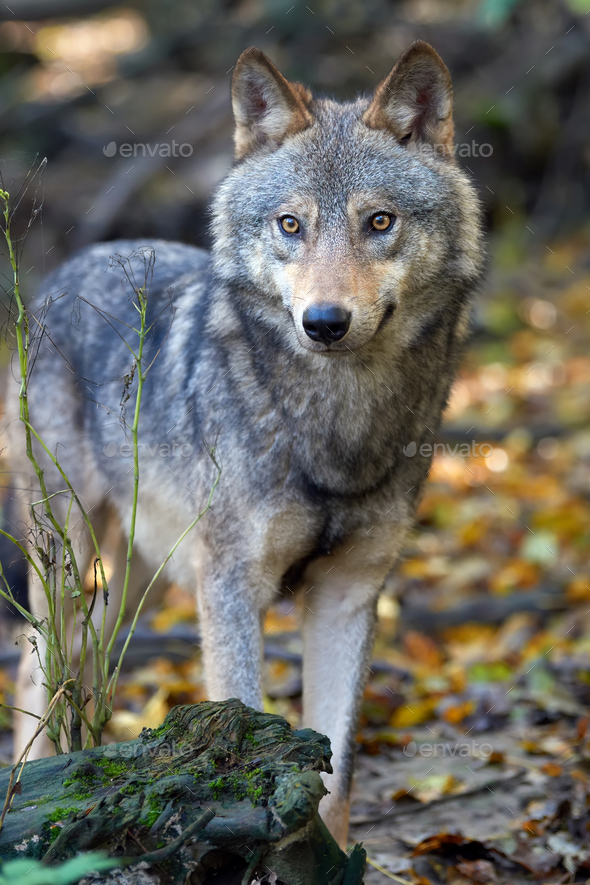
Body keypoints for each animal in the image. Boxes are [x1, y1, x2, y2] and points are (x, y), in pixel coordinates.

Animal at [5, 41, 483, 846]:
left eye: (379, 221)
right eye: (290, 225)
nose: (324, 321)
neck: (335, 425)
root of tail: (69, 268)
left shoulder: (348, 596)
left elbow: (339, 774)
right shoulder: (229, 588)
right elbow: (246, 720)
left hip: (138, 578)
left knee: (92, 669)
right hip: (67, 560)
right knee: (39, 672)